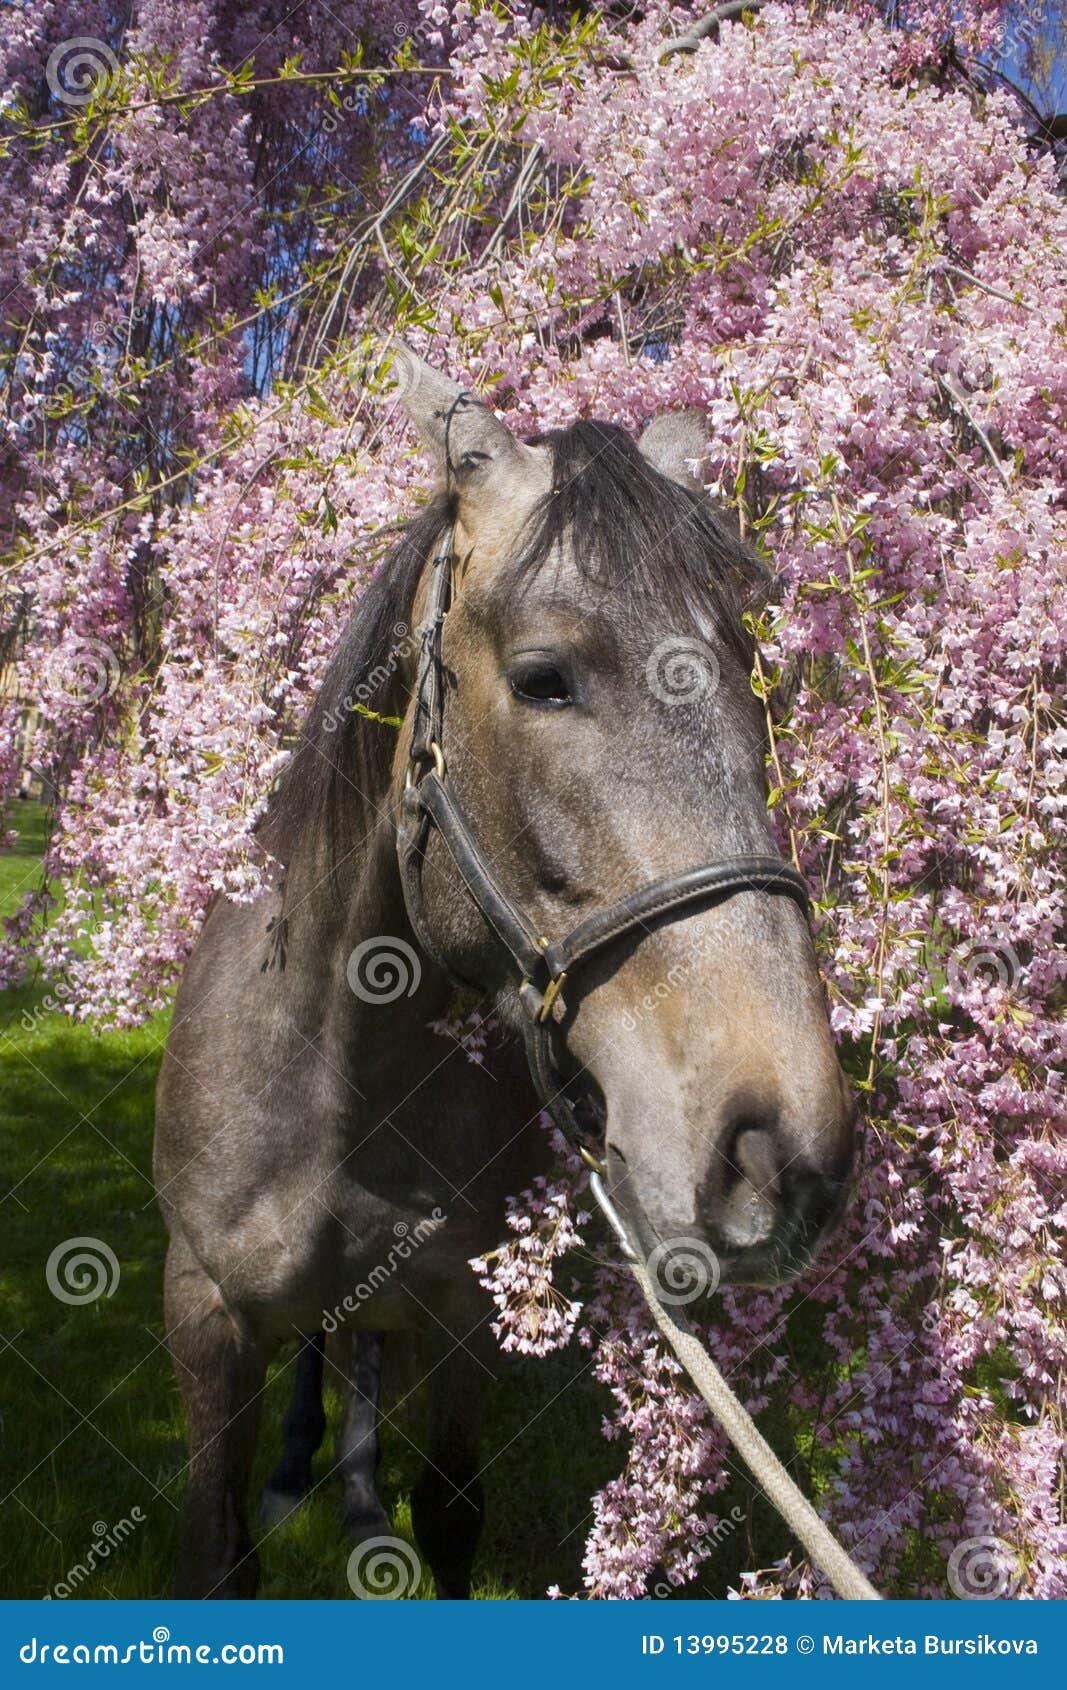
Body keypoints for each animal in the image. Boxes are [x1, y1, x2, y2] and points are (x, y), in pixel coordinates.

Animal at [153, 347, 855, 1599]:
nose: (781, 1154)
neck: (333, 1079)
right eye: (541, 678)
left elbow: (450, 1510)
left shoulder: (460, 1312)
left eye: (753, 671)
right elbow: (218, 1551)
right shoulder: (202, 1317)